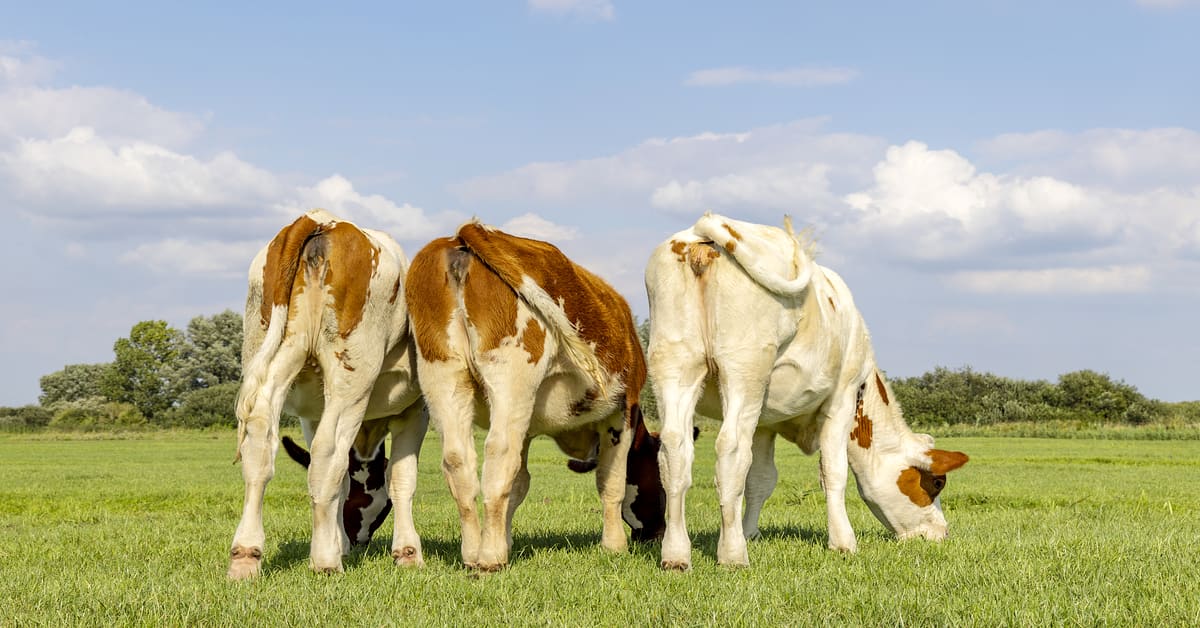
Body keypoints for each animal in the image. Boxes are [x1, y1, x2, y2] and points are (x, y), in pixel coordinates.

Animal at [228, 209, 427, 580]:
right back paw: (325, 561)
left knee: (260, 443)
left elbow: (344, 481)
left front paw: (341, 543)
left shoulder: (312, 414)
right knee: (326, 453)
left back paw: (246, 554)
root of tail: (322, 220)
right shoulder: (415, 412)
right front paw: (407, 553)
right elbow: (400, 479)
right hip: (350, 375)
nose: (358, 538)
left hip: (272, 353)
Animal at [404, 220, 665, 571]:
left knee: (459, 461)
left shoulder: (526, 425)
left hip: (443, 374)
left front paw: (506, 541)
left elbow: (519, 483)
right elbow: (611, 482)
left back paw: (473, 553)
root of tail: (465, 234)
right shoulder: (623, 410)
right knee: (498, 454)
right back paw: (489, 558)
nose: (658, 532)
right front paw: (614, 546)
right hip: (512, 373)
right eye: (659, 481)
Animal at [646, 213, 969, 570]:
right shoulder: (842, 399)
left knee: (674, 449)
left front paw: (751, 532)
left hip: (674, 362)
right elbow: (834, 471)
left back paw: (676, 555)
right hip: (744, 367)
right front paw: (843, 542)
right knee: (729, 449)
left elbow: (760, 479)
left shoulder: (764, 424)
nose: (942, 532)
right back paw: (732, 554)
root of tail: (704, 229)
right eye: (936, 483)